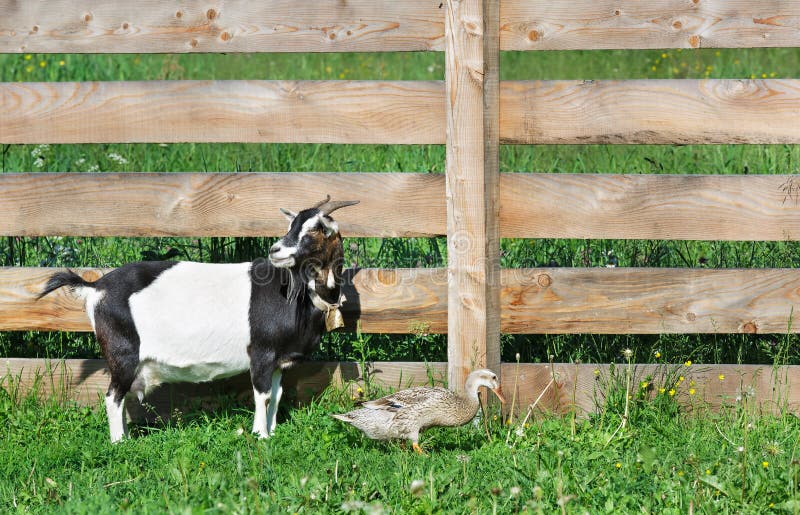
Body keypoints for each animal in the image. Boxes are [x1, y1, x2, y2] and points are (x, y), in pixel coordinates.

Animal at [38, 196, 358, 442]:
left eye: (316, 228)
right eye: (292, 225)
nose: (276, 250)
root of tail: (94, 287)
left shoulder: (279, 360)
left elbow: (277, 395)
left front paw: (273, 431)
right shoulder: (261, 353)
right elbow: (263, 395)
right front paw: (261, 436)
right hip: (122, 353)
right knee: (112, 397)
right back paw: (119, 442)